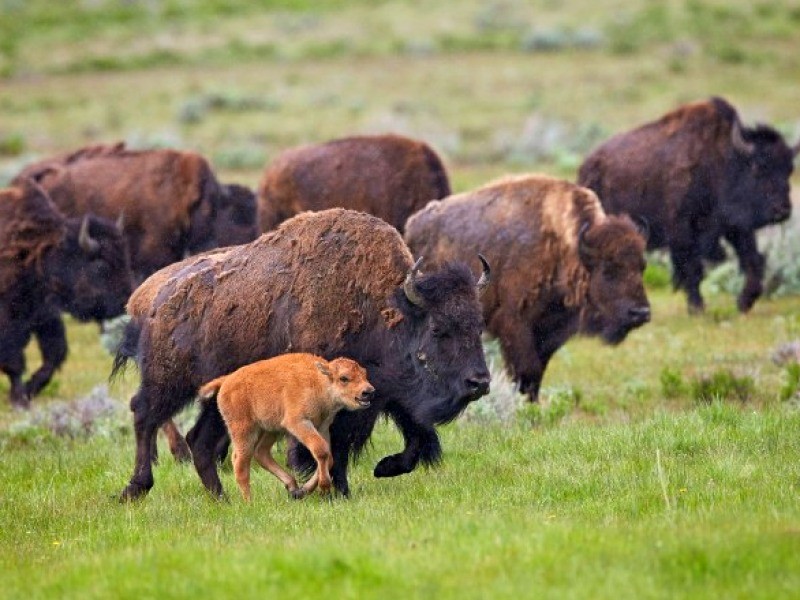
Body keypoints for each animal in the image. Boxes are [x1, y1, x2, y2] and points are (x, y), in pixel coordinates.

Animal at [0, 180, 133, 408]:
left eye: (125, 258)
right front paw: (20, 399)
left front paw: (30, 389)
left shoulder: (45, 316)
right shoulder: (9, 322)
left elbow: (53, 357)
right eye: (100, 265)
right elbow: (14, 362)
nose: (127, 299)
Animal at [112, 208, 491, 500]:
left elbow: (415, 439)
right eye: (438, 329)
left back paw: (222, 498)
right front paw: (337, 492)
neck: (385, 310)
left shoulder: (387, 396)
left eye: (478, 325)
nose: (480, 382)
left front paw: (382, 469)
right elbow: (331, 447)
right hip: (168, 382)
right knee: (145, 415)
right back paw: (135, 489)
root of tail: (154, 299)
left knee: (200, 440)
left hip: (219, 397)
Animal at [405, 174, 650, 402]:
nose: (641, 313)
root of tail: (413, 225)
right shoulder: (516, 325)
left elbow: (537, 372)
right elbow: (526, 370)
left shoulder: (549, 333)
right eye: (608, 270)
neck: (560, 247)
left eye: (642, 267)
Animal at [578, 96, 798, 313]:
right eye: (758, 167)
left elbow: (753, 260)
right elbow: (692, 269)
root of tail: (587, 166)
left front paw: (744, 302)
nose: (782, 210)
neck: (722, 161)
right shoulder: (683, 231)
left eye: (789, 169)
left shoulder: (736, 228)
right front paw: (697, 308)